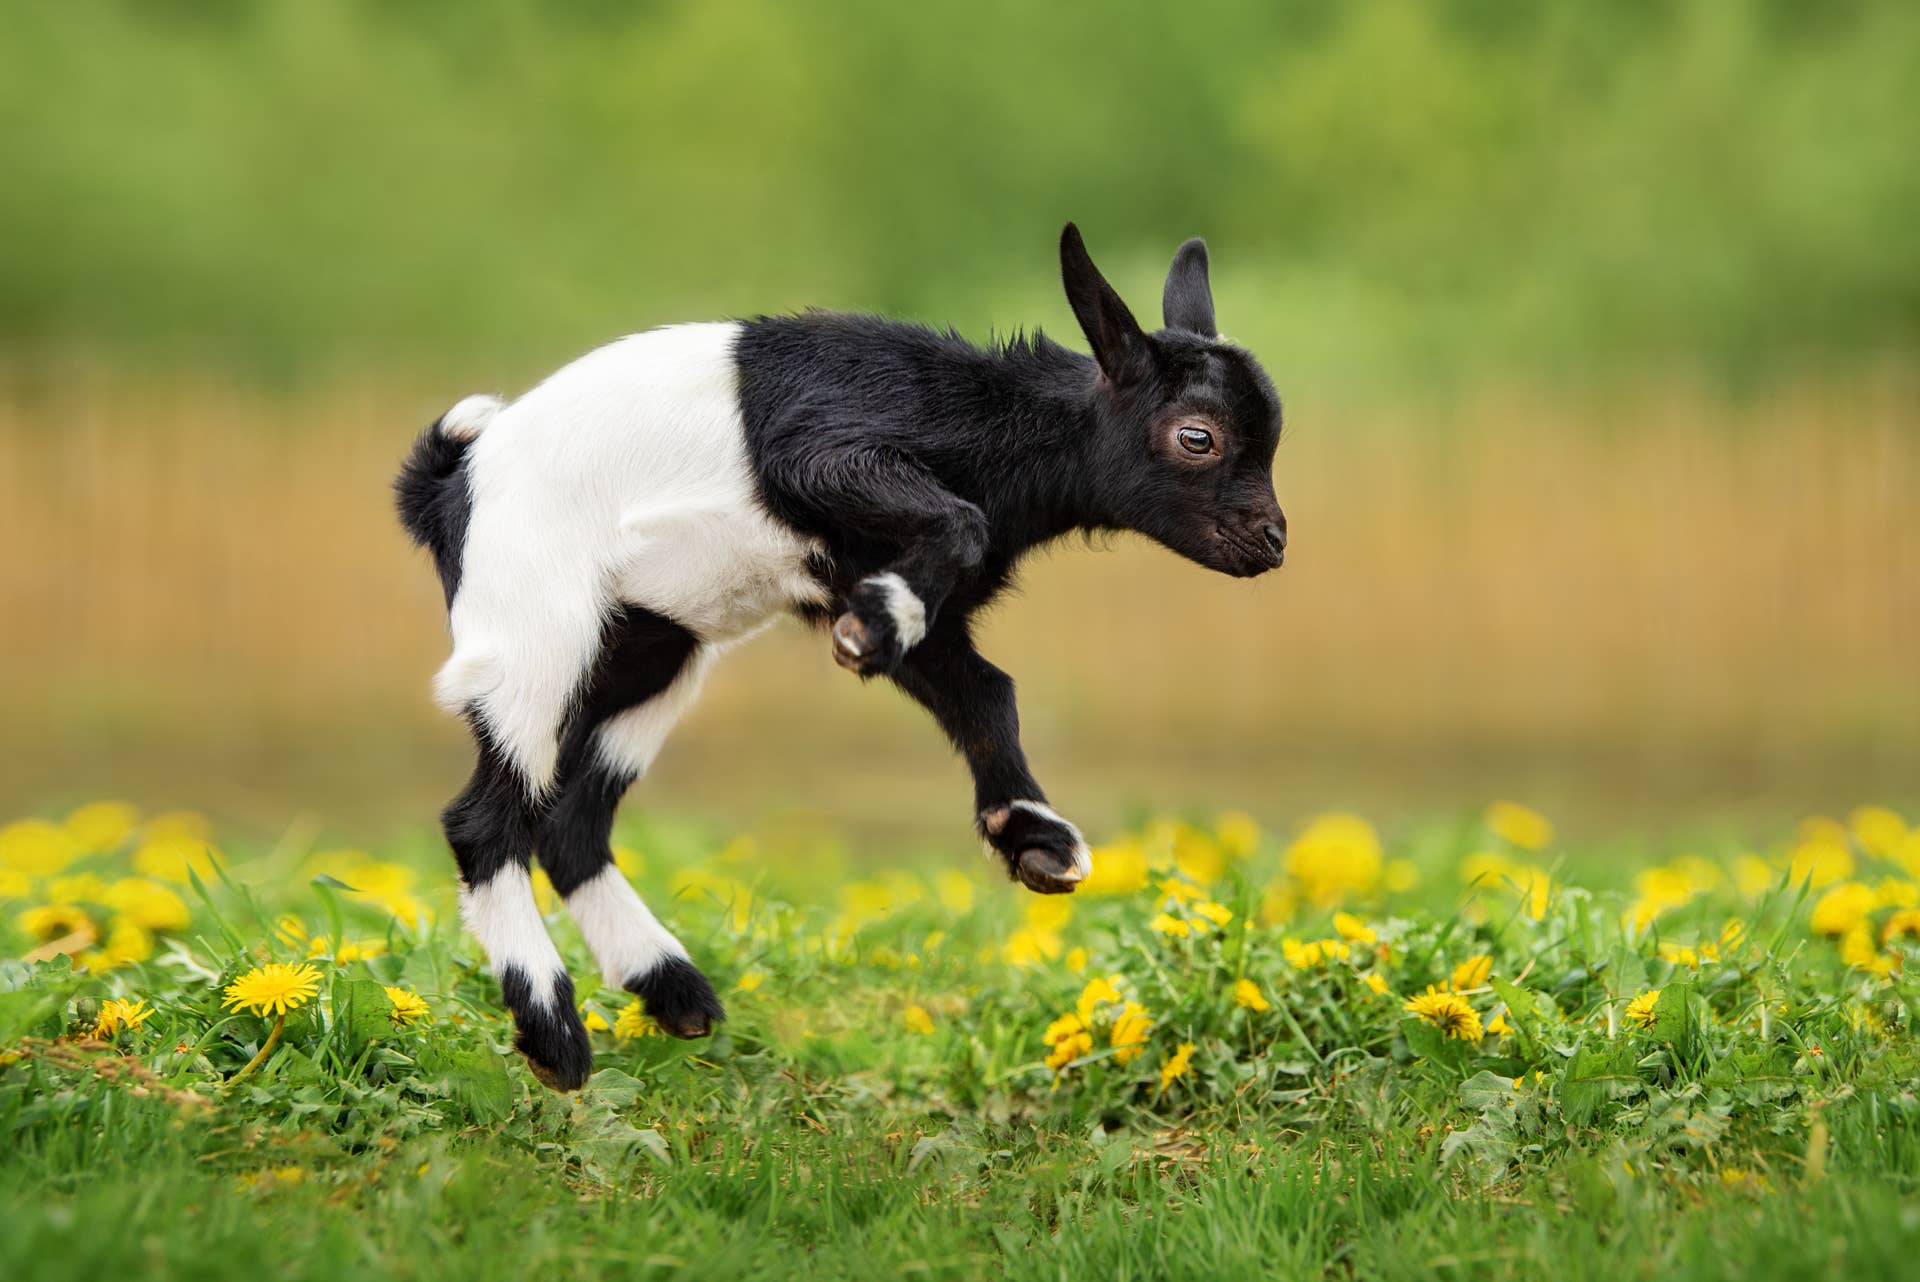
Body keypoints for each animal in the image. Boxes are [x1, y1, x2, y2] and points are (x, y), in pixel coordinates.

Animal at [396, 224, 1286, 1089]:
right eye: (1198, 437)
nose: (1273, 543)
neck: (991, 425)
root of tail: (447, 486)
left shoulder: (897, 597)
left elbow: (987, 692)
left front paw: (1030, 835)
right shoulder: (823, 451)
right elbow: (958, 526)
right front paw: (876, 637)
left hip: (650, 647)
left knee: (572, 819)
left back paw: (673, 990)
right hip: (535, 630)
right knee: (484, 820)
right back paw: (554, 1032)